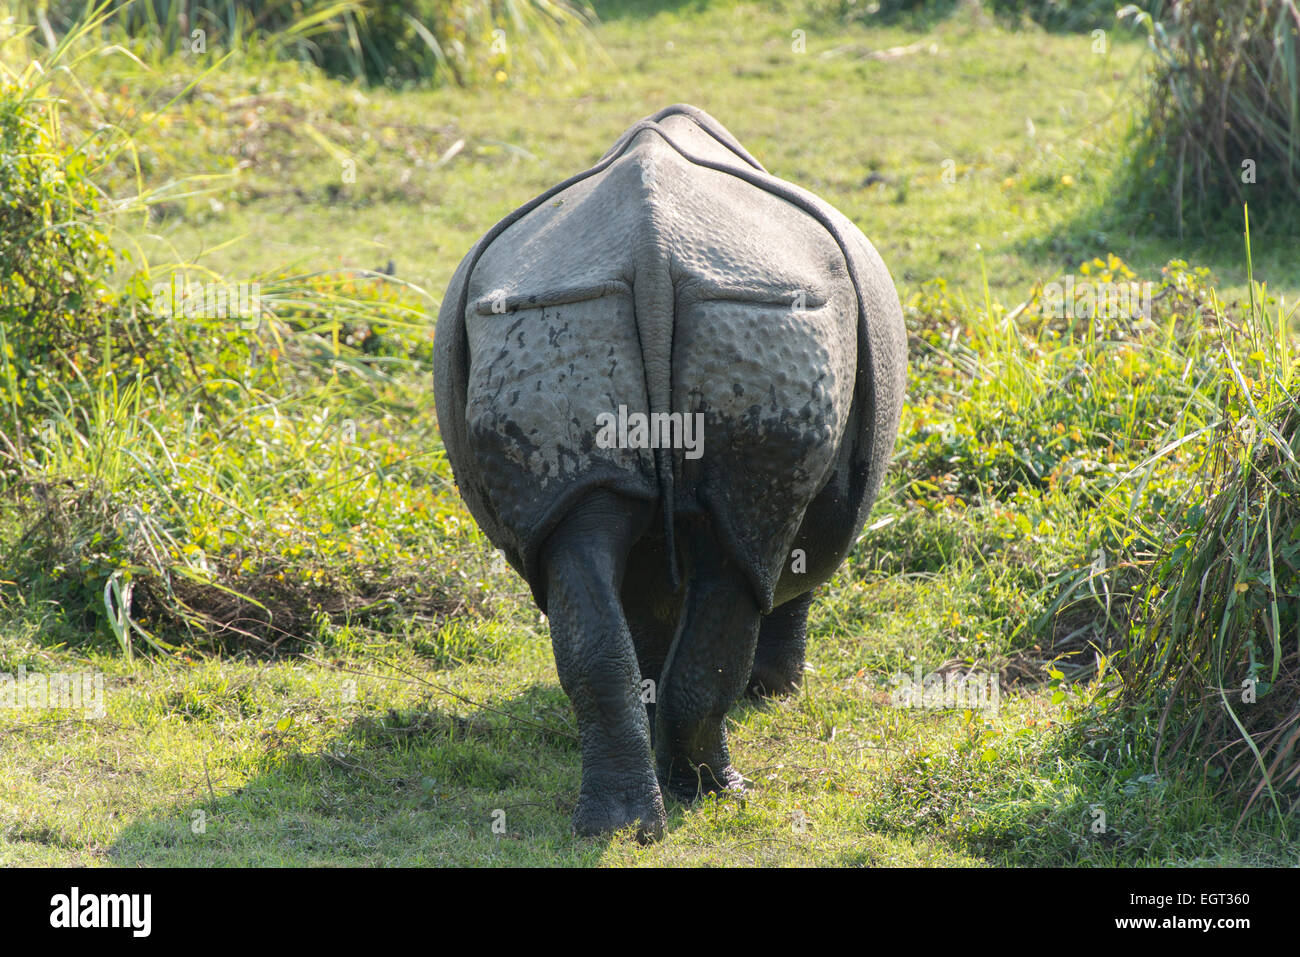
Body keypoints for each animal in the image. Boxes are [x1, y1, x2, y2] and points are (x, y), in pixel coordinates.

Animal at [433, 104, 906, 840]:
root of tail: (652, 253)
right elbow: (792, 582)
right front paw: (775, 690)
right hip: (764, 312)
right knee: (740, 565)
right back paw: (719, 792)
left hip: (557, 310)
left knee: (592, 558)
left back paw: (618, 824)